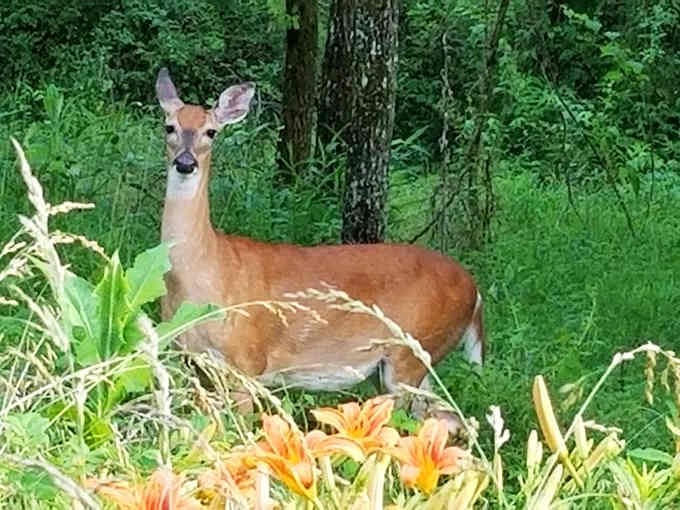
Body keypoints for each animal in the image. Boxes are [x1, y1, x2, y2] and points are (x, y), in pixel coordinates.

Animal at [155, 68, 484, 429]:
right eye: (169, 126)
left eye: (211, 132)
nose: (185, 163)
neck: (204, 272)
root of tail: (476, 293)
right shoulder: (189, 360)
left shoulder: (247, 361)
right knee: (450, 420)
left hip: (411, 354)